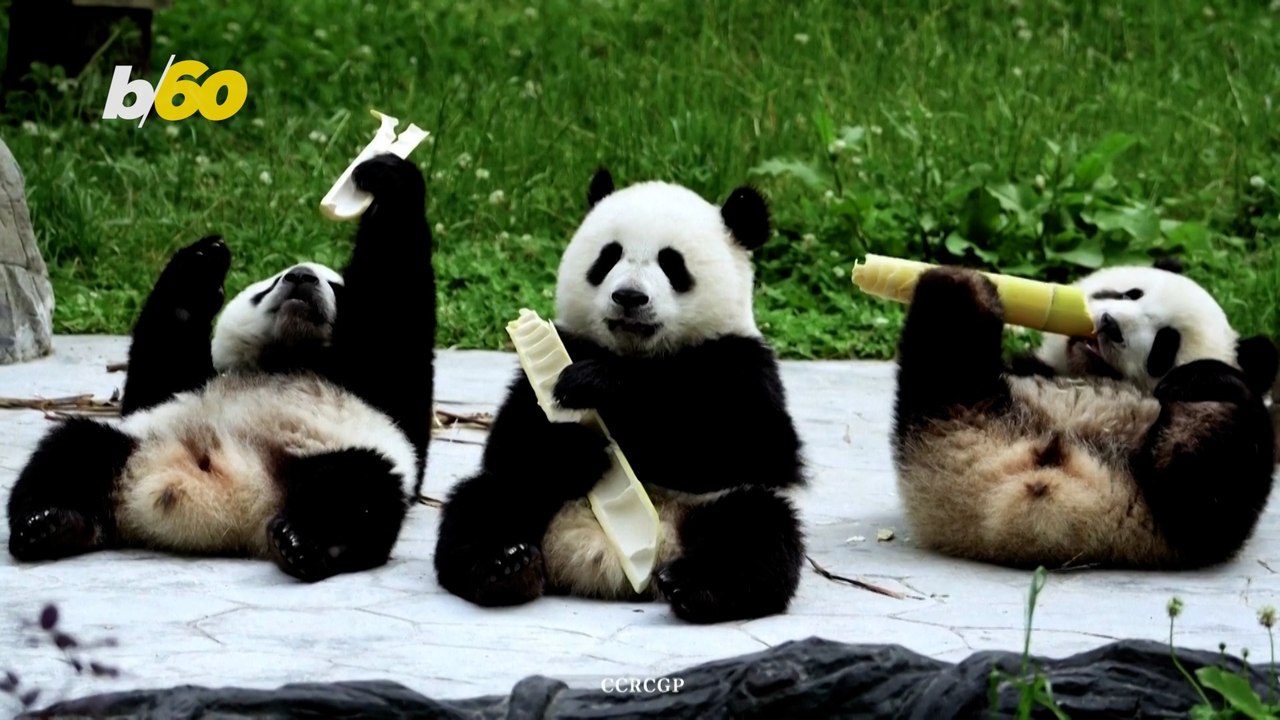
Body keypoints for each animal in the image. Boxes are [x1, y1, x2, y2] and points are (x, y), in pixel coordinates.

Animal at [6, 153, 435, 583]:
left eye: (336, 287)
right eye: (270, 285)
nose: (300, 278)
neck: (289, 356)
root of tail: (235, 508)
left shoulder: (380, 387)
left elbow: (398, 306)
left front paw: (386, 177)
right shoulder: (183, 384)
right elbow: (159, 364)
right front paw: (202, 262)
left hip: (330, 458)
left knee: (358, 490)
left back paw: (302, 544)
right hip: (135, 445)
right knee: (70, 449)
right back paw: (50, 525)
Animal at [433, 169, 806, 623]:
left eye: (672, 263)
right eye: (608, 257)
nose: (629, 297)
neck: (637, 354)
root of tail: (601, 561)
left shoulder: (741, 363)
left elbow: (744, 444)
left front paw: (602, 383)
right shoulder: (558, 354)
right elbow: (510, 442)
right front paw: (578, 447)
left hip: (706, 508)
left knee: (757, 531)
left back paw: (696, 586)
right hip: (542, 499)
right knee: (485, 502)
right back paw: (506, 567)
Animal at [892, 261, 1279, 570]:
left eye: (1165, 344)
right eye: (1131, 294)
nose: (1111, 326)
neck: (1084, 373)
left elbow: (1210, 500)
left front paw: (1199, 378)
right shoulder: (1032, 368)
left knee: (1208, 474)